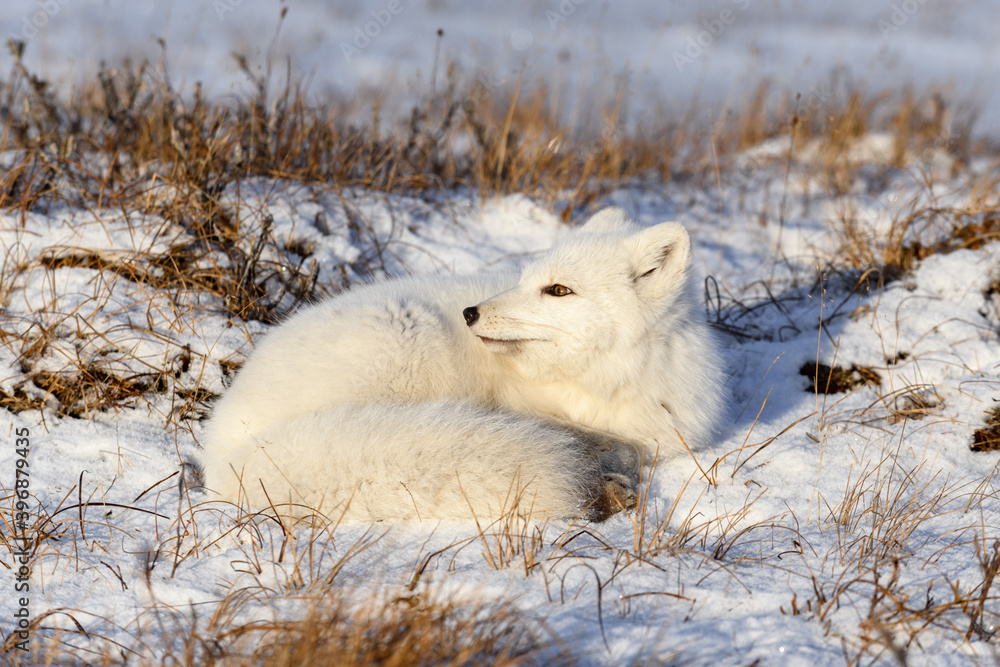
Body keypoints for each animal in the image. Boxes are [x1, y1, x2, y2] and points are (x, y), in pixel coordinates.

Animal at [200, 207, 725, 523]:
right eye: (525, 279)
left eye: (558, 290)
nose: (470, 313)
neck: (610, 381)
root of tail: (225, 452)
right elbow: (611, 443)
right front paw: (604, 464)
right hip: (412, 340)